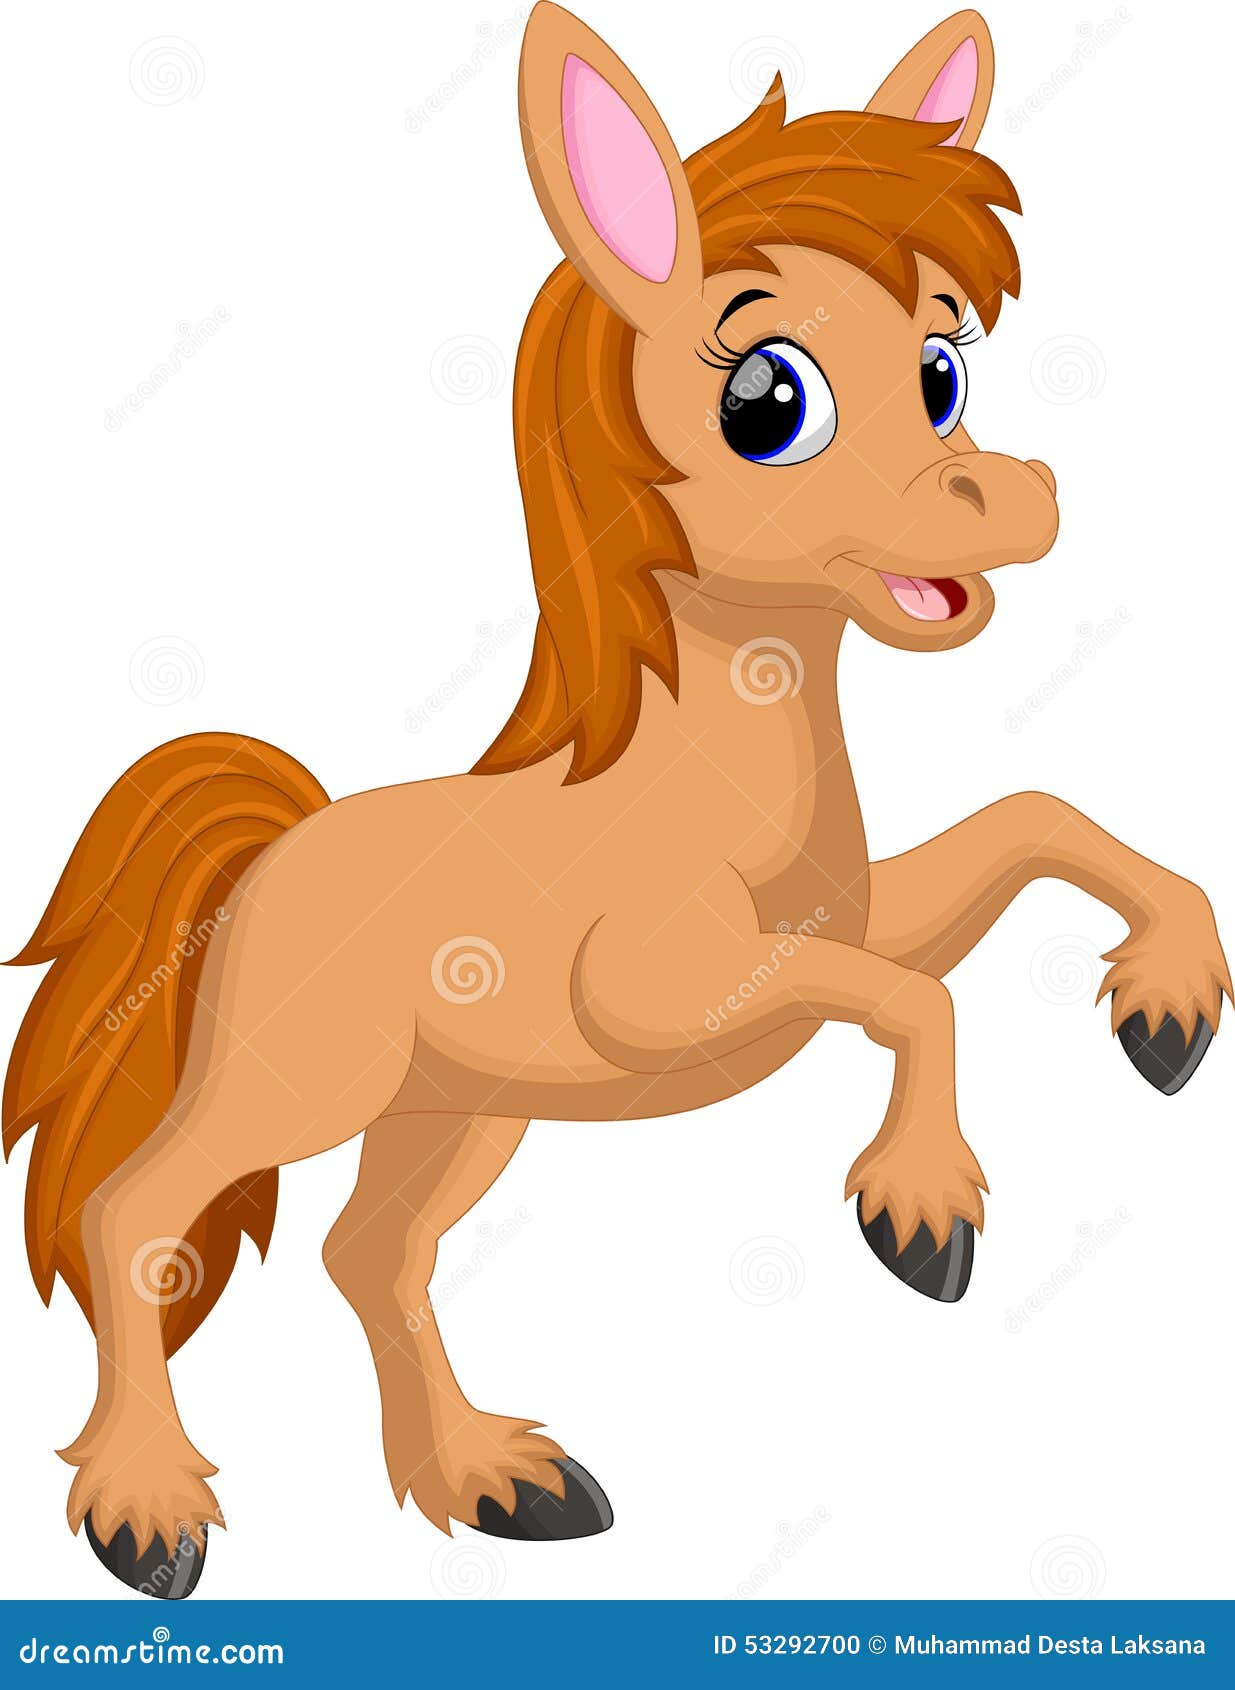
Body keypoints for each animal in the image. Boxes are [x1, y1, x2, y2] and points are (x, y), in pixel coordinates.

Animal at [4, 3, 1228, 1599]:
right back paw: (146, 1509)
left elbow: (1031, 823)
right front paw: (920, 1209)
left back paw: (492, 1481)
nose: (1008, 496)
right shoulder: (677, 991)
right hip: (301, 1079)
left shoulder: (859, 918)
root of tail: (273, 851)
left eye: (943, 364)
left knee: (368, 1253)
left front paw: (1168, 1008)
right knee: (134, 1216)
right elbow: (912, 999)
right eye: (766, 399)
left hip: (458, 1109)